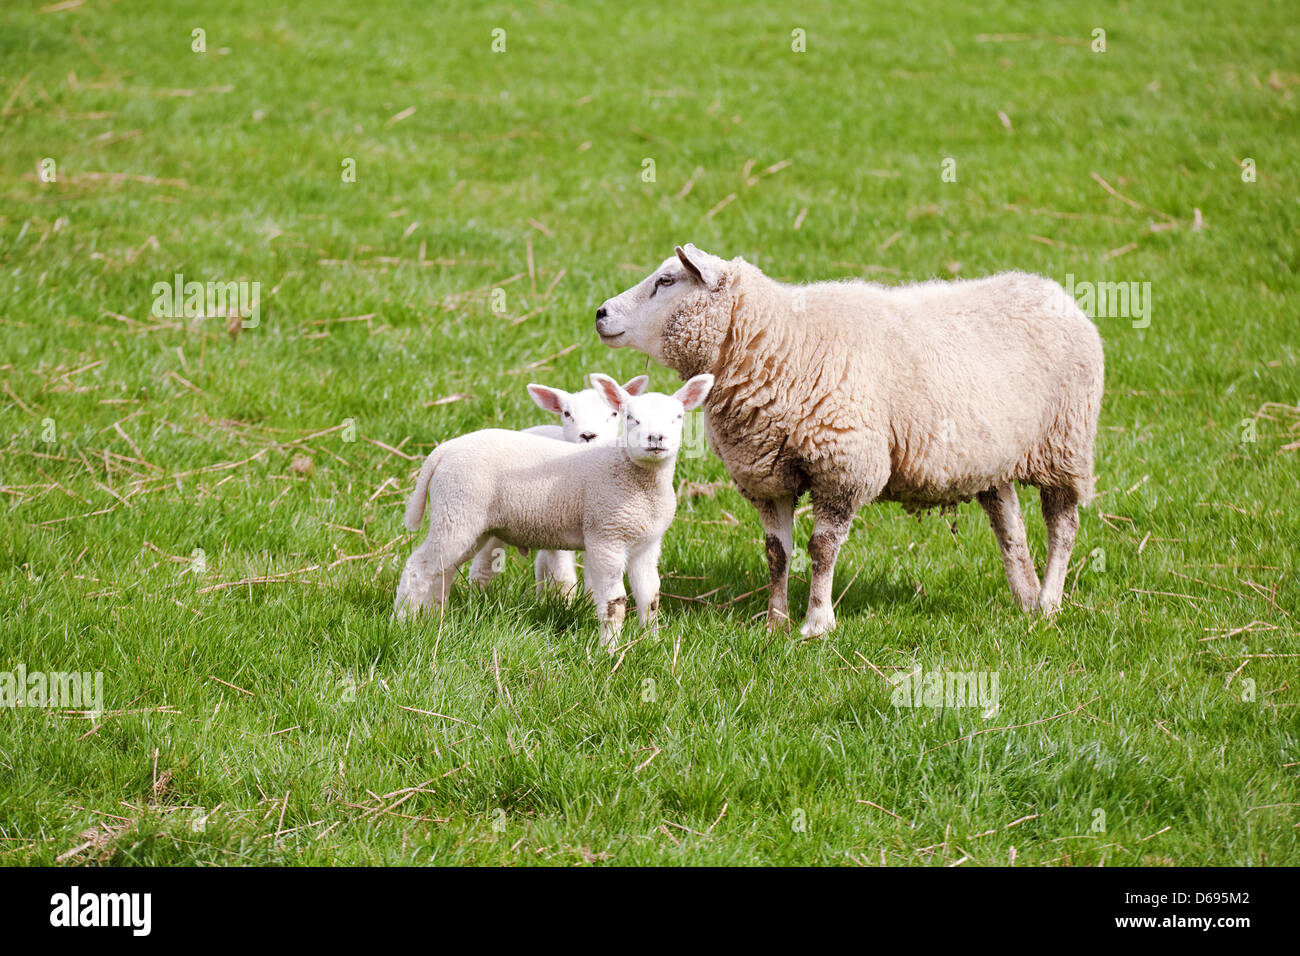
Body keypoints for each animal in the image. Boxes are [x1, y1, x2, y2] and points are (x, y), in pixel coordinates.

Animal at [467, 374, 649, 595]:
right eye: (567, 413)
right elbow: (563, 575)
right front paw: (566, 598)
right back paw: (476, 592)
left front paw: (586, 600)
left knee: (540, 564)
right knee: (485, 560)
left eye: (614, 413)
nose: (588, 435)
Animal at [595, 243, 1104, 636]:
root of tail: (1052, 289)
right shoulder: (767, 476)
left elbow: (821, 550)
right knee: (1010, 528)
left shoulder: (843, 467)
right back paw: (1025, 598)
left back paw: (1049, 603)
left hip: (1066, 444)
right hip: (995, 457)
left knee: (1063, 526)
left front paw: (816, 624)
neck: (781, 342)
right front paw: (775, 621)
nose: (600, 313)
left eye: (666, 281)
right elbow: (777, 554)